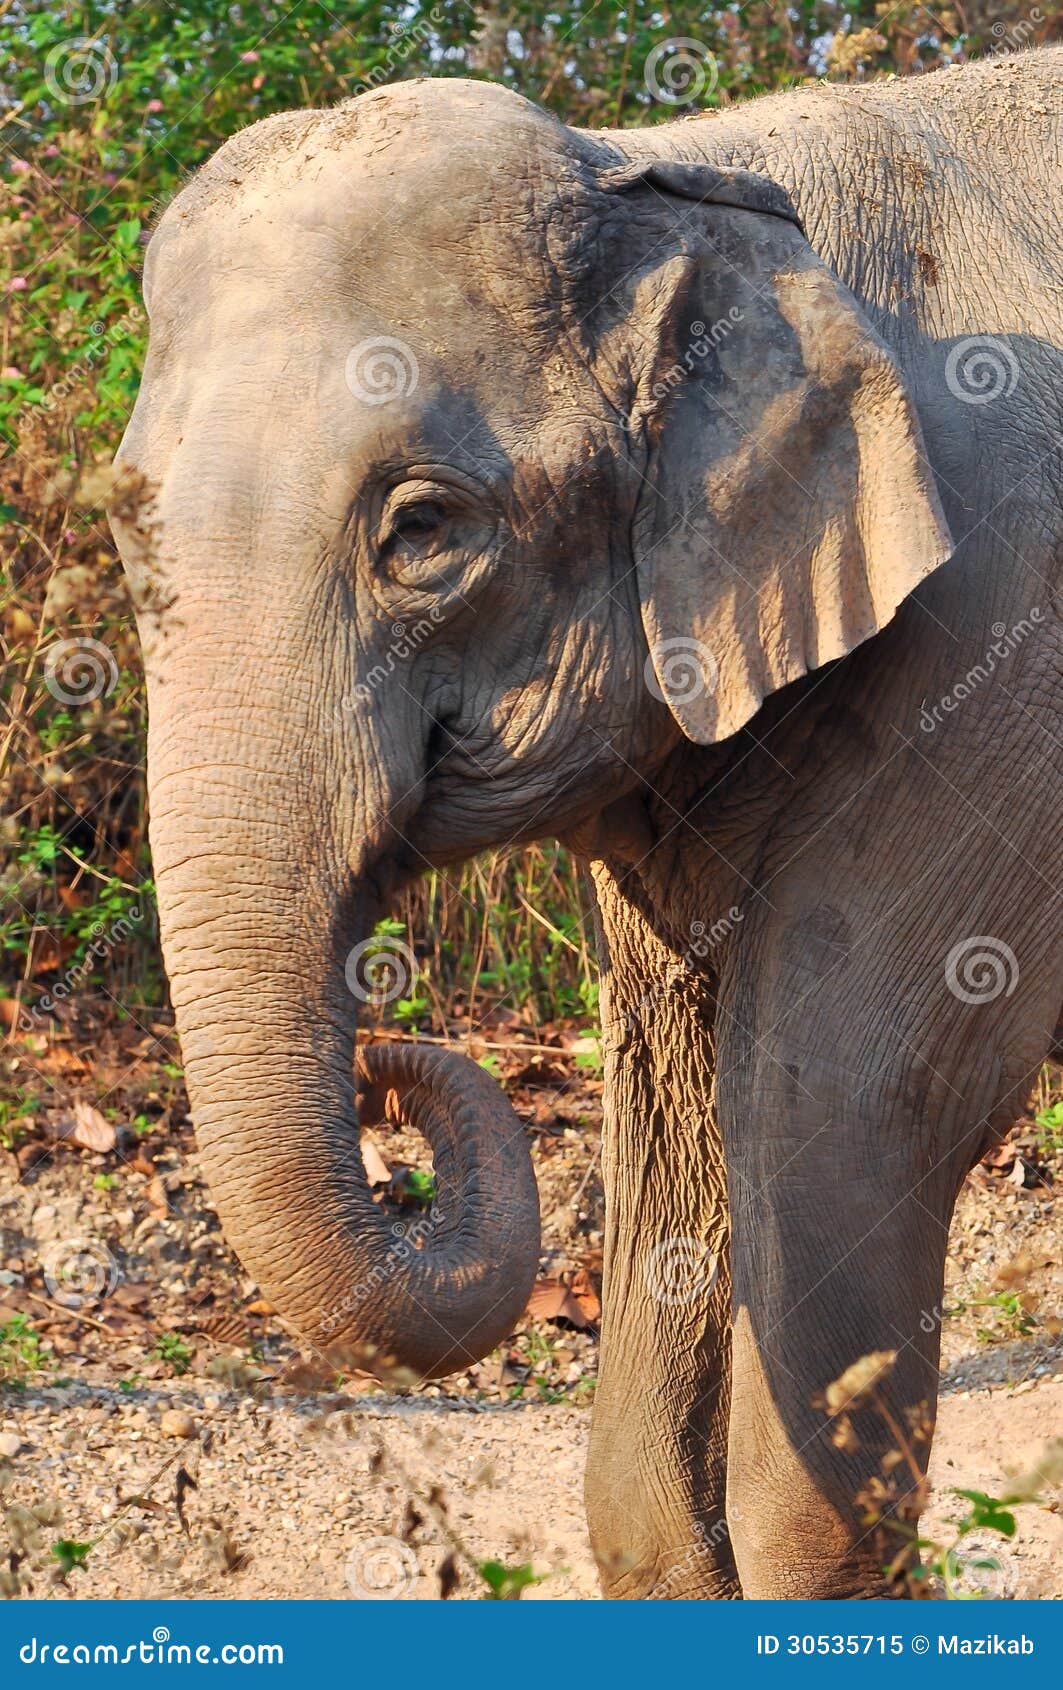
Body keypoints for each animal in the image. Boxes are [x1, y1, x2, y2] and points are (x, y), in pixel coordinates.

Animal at [110, 47, 1063, 1600]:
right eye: (131, 538)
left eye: (422, 531)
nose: (387, 1064)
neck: (679, 168)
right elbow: (674, 1094)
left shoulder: (1002, 634)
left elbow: (848, 1092)